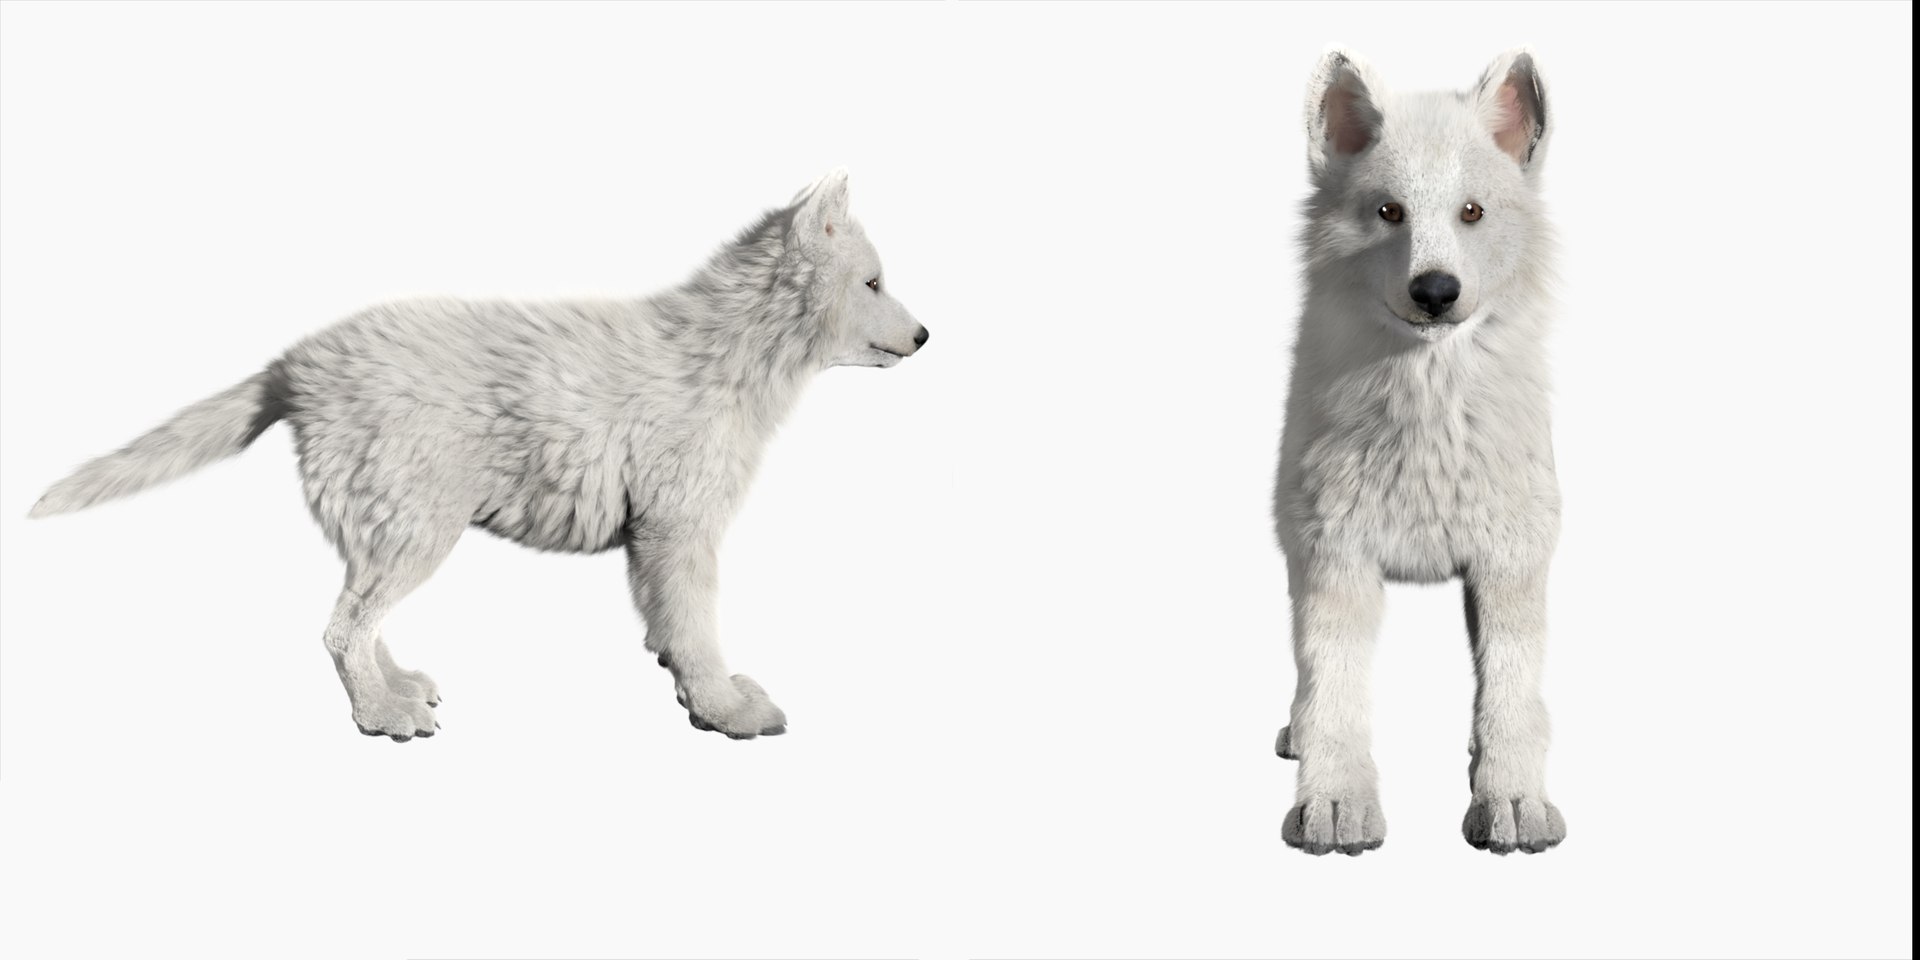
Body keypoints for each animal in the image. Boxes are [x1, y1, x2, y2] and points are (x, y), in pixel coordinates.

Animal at [31, 169, 928, 743]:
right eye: (874, 283)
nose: (925, 336)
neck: (727, 354)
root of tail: (299, 361)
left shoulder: (652, 537)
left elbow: (669, 627)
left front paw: (685, 683)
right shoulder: (680, 528)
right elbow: (700, 627)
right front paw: (724, 710)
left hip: (391, 532)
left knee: (357, 624)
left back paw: (397, 688)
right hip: (418, 529)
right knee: (340, 630)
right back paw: (382, 718)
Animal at [1272, 48, 1564, 855]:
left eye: (1471, 212)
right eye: (1388, 212)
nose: (1435, 290)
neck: (1429, 421)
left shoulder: (1508, 561)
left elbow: (1508, 694)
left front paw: (1512, 800)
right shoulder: (1335, 559)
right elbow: (1335, 694)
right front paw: (1334, 803)